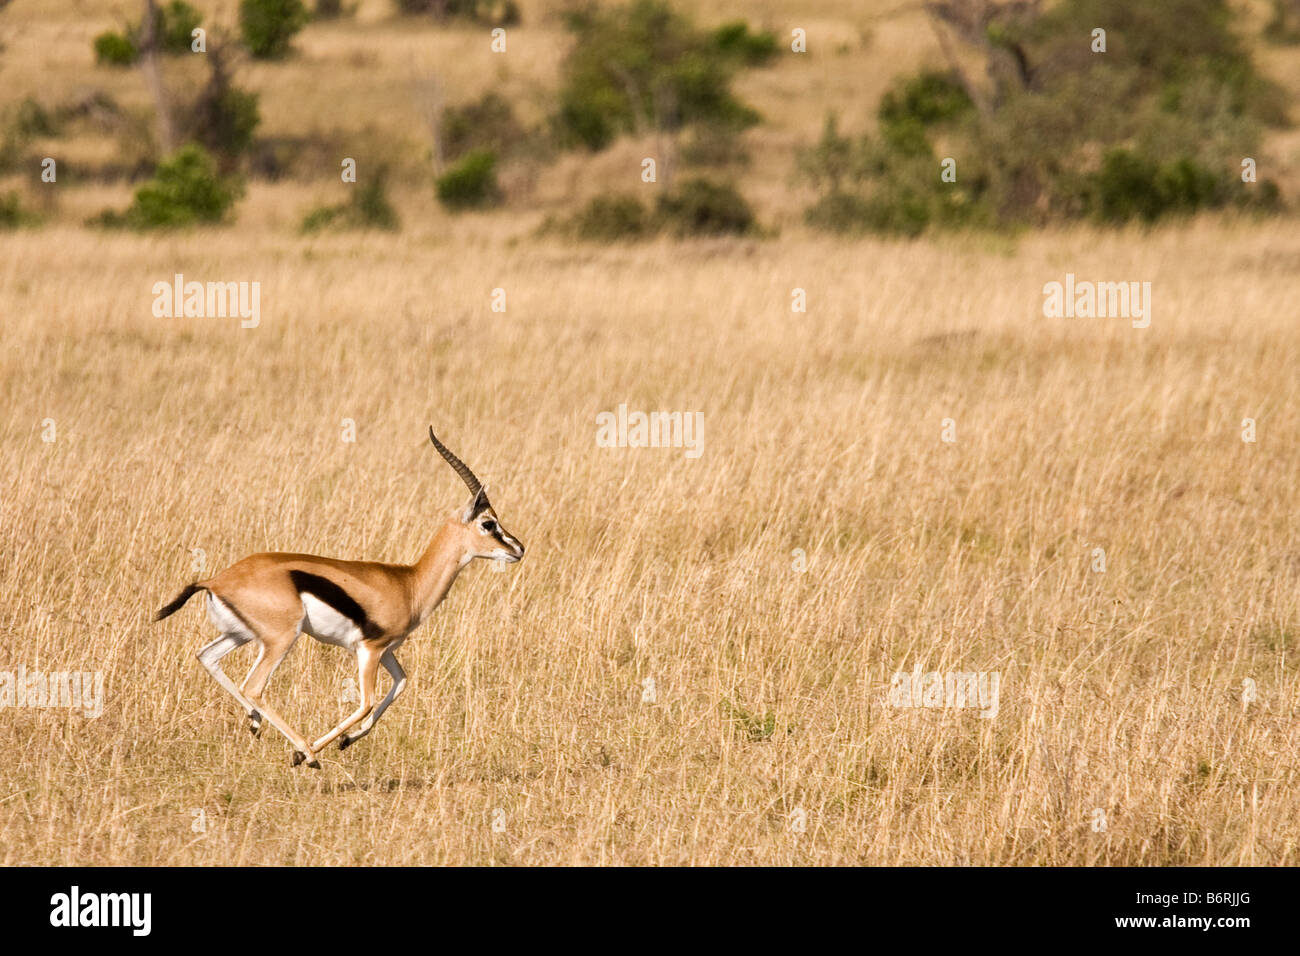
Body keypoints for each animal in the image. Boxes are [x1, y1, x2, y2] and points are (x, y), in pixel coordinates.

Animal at [154, 427, 525, 768]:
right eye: (488, 523)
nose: (519, 549)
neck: (410, 583)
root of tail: (216, 580)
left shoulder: (387, 651)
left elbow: (401, 684)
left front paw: (348, 741)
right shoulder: (369, 650)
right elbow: (366, 702)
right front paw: (307, 754)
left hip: (240, 634)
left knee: (207, 657)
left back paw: (256, 723)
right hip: (281, 639)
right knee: (254, 686)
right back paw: (306, 752)